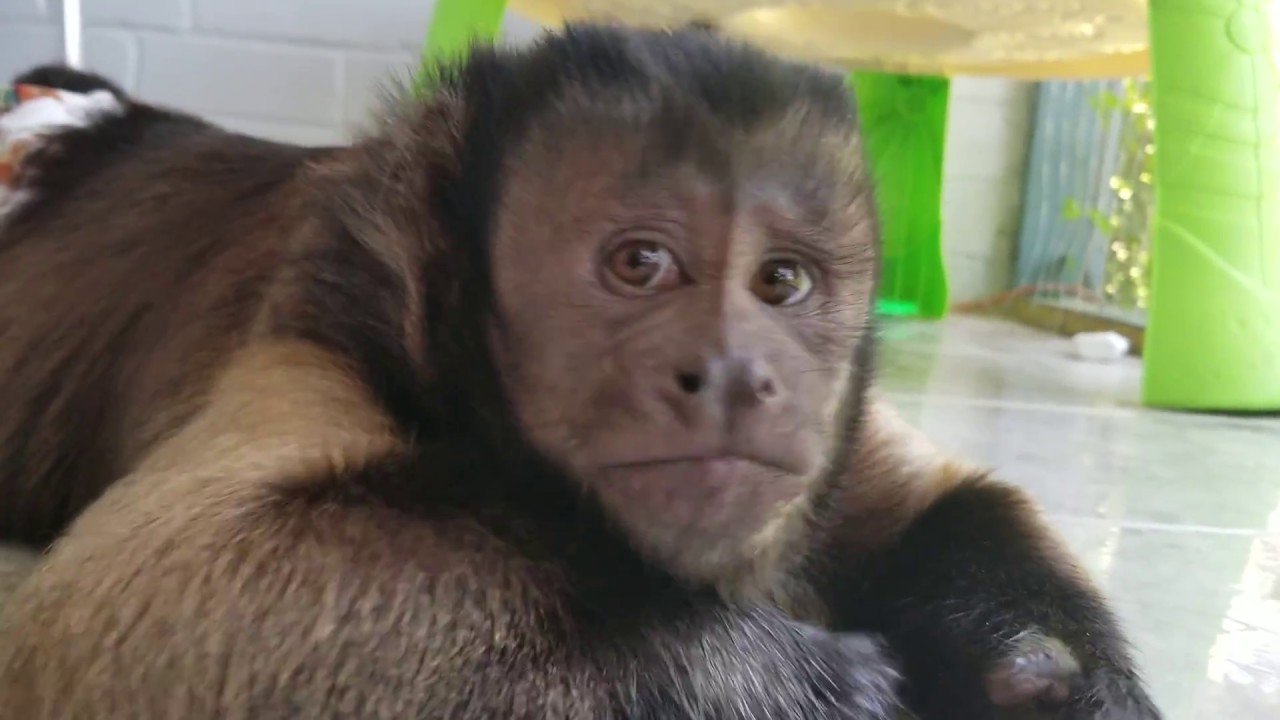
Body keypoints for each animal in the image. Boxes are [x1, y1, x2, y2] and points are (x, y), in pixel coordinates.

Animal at [0, 24, 1161, 720]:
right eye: (639, 265)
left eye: (782, 283)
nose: (733, 372)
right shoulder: (325, 322)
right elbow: (122, 606)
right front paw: (778, 675)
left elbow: (950, 500)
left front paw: (1046, 676)